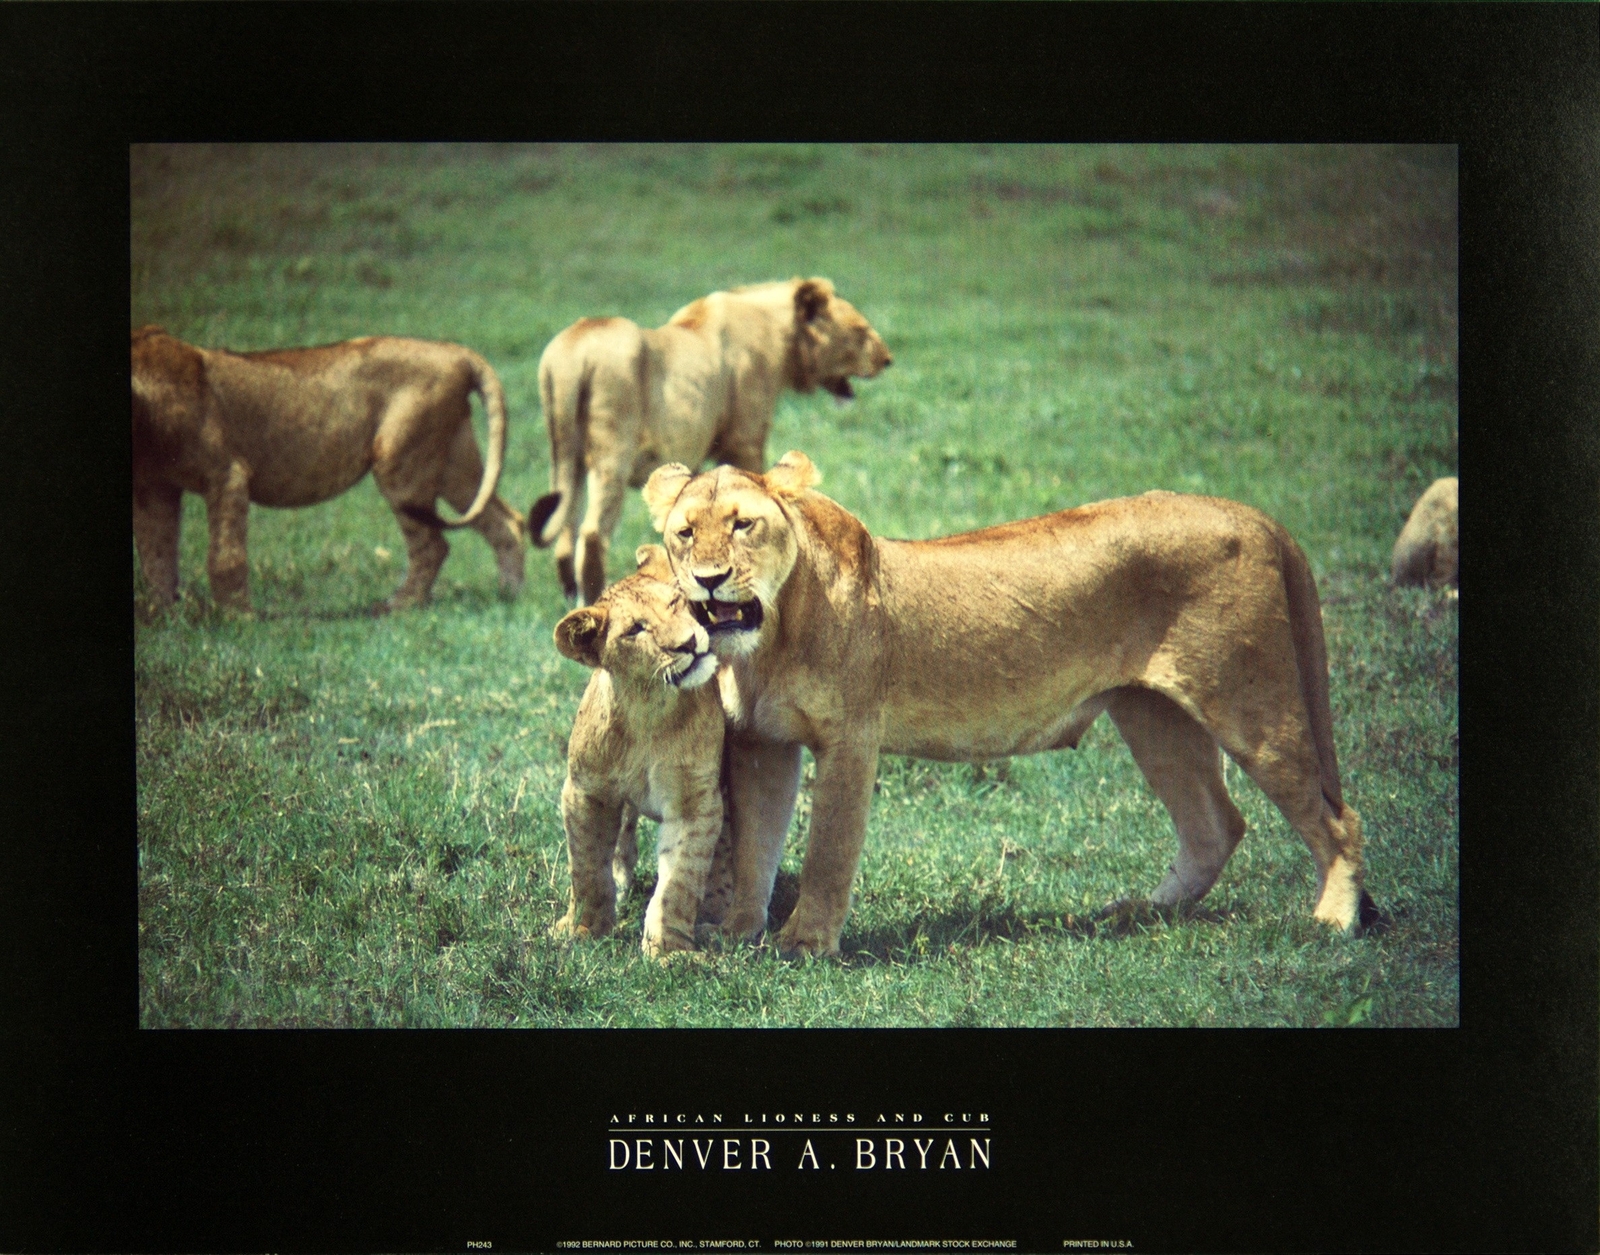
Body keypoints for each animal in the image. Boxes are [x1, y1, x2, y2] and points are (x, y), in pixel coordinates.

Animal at [131, 326, 525, 614]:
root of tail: (454, 351)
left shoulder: (227, 477)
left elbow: (225, 556)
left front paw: (237, 618)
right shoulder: (153, 489)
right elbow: (155, 554)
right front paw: (162, 616)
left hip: (400, 462)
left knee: (433, 545)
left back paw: (398, 606)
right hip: (453, 464)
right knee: (504, 520)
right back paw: (508, 595)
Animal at [528, 278, 892, 607]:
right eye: (860, 330)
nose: (888, 359)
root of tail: (571, 355)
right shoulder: (746, 438)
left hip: (566, 454)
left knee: (567, 528)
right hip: (611, 454)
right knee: (592, 534)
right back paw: (594, 600)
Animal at [552, 545, 735, 955]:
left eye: (676, 603)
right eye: (636, 630)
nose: (689, 643)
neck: (648, 709)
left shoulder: (696, 800)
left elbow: (679, 881)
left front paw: (669, 951)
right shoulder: (586, 791)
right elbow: (587, 865)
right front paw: (583, 928)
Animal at [643, 450, 1382, 958]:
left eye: (743, 525)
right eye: (685, 534)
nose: (708, 579)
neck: (769, 637)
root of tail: (1251, 515)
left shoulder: (851, 738)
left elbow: (827, 849)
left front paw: (805, 944)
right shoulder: (763, 742)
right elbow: (755, 849)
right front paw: (738, 935)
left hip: (1252, 702)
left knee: (1337, 818)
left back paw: (1331, 921)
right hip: (1153, 716)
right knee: (1216, 824)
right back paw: (1136, 913)